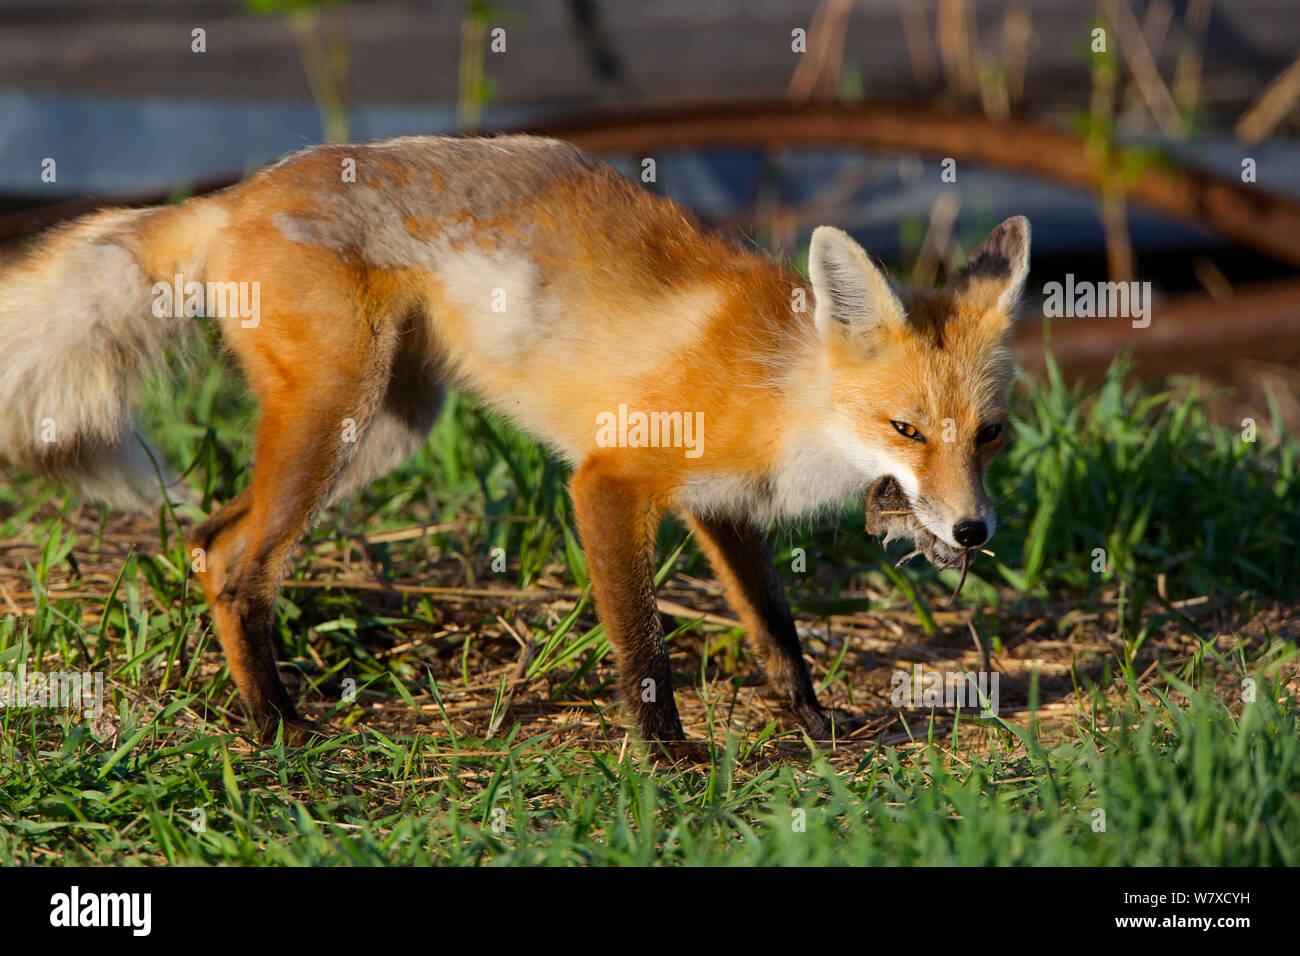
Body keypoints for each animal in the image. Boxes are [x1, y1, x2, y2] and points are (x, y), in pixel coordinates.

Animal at [0, 134, 1028, 745]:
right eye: (904, 429)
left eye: (989, 437)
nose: (972, 532)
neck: (787, 397)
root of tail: (240, 189)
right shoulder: (610, 479)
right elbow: (643, 647)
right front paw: (668, 759)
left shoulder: (722, 506)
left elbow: (775, 627)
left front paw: (810, 721)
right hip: (336, 419)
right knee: (236, 564)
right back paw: (274, 723)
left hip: (385, 429)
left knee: (209, 537)